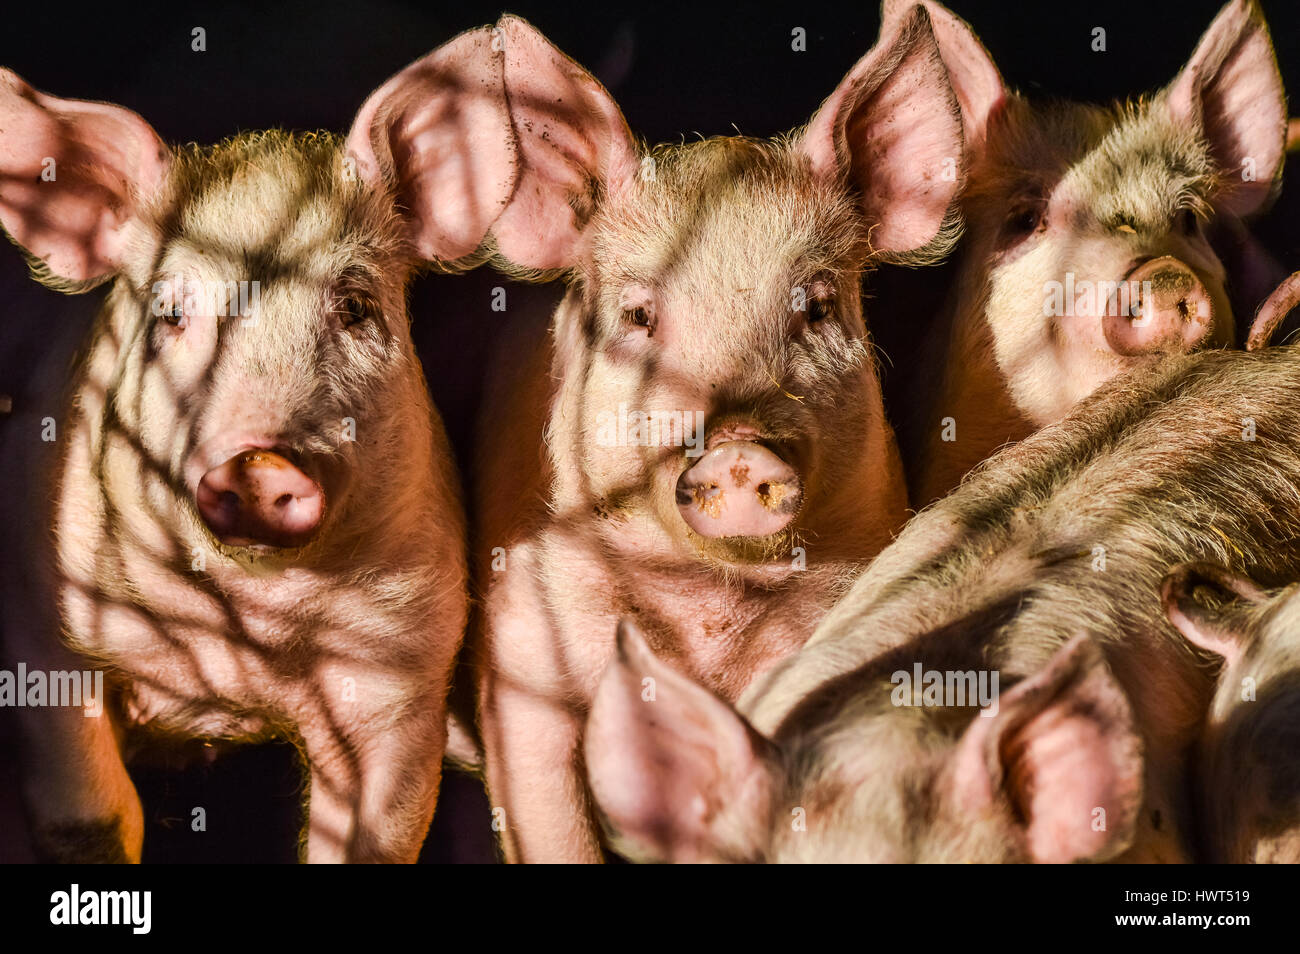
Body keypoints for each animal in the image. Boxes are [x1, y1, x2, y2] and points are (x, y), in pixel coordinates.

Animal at [0, 25, 514, 862]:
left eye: (355, 306)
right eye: (170, 313)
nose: (261, 459)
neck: (245, 652)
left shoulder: (405, 669)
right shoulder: (40, 624)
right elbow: (95, 818)